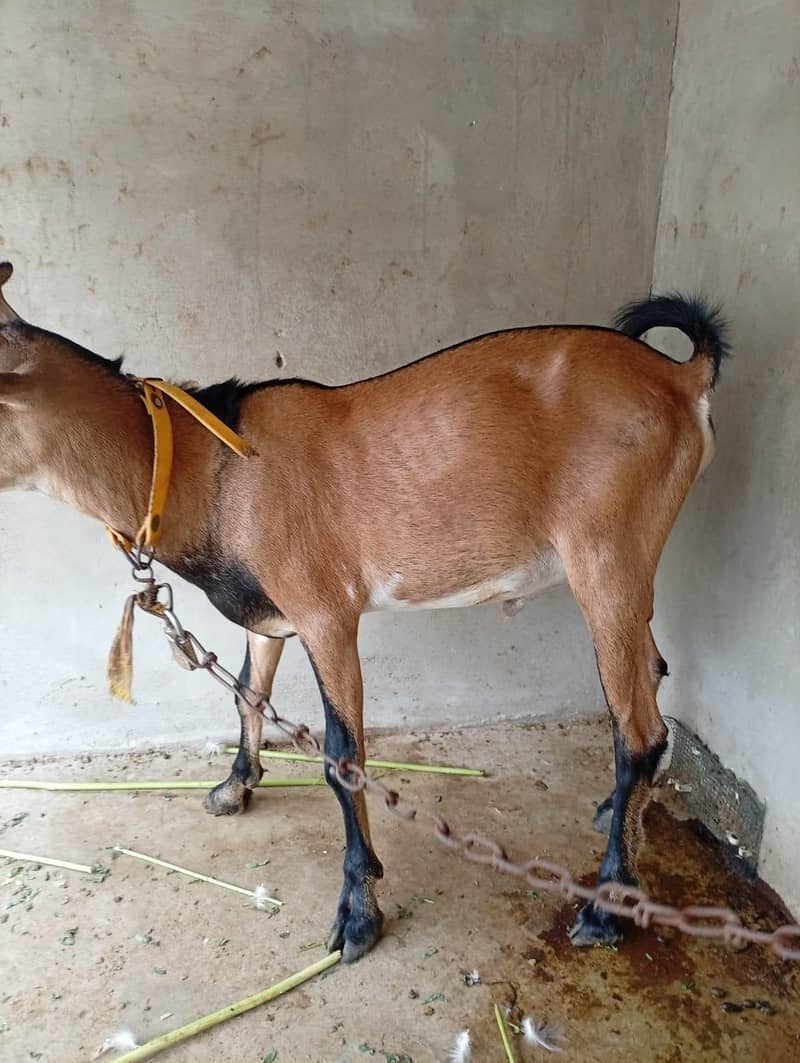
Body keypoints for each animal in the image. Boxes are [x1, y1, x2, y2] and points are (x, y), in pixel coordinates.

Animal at [0, 261, 728, 961]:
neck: (210, 474)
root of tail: (683, 377)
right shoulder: (268, 614)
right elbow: (247, 695)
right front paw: (234, 787)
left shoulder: (326, 612)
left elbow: (342, 755)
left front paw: (358, 912)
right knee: (653, 675)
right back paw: (616, 812)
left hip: (605, 553)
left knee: (639, 728)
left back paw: (607, 908)